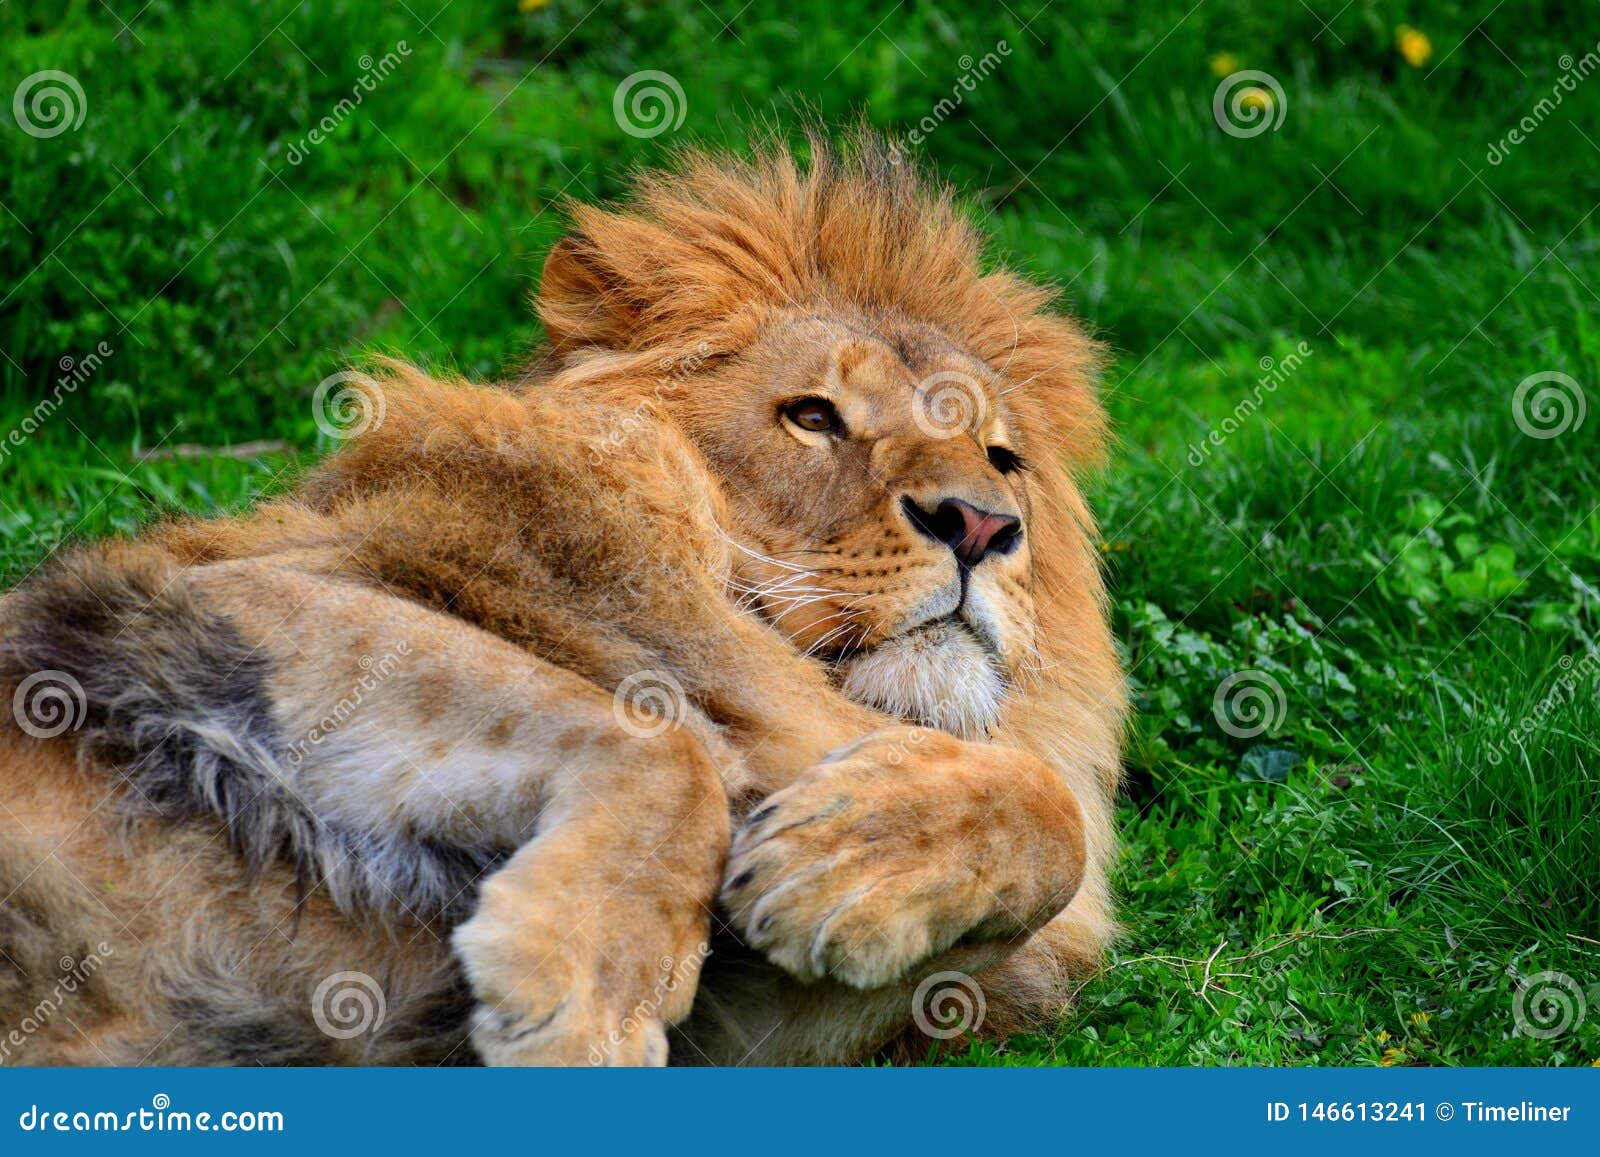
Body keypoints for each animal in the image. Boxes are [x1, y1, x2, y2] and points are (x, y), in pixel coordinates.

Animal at [0, 133, 1123, 1066]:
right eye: (812, 416)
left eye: (1002, 457)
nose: (977, 524)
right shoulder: (227, 602)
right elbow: (661, 742)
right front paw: (590, 1009)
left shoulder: (764, 1025)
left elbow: (1053, 816)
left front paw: (836, 861)